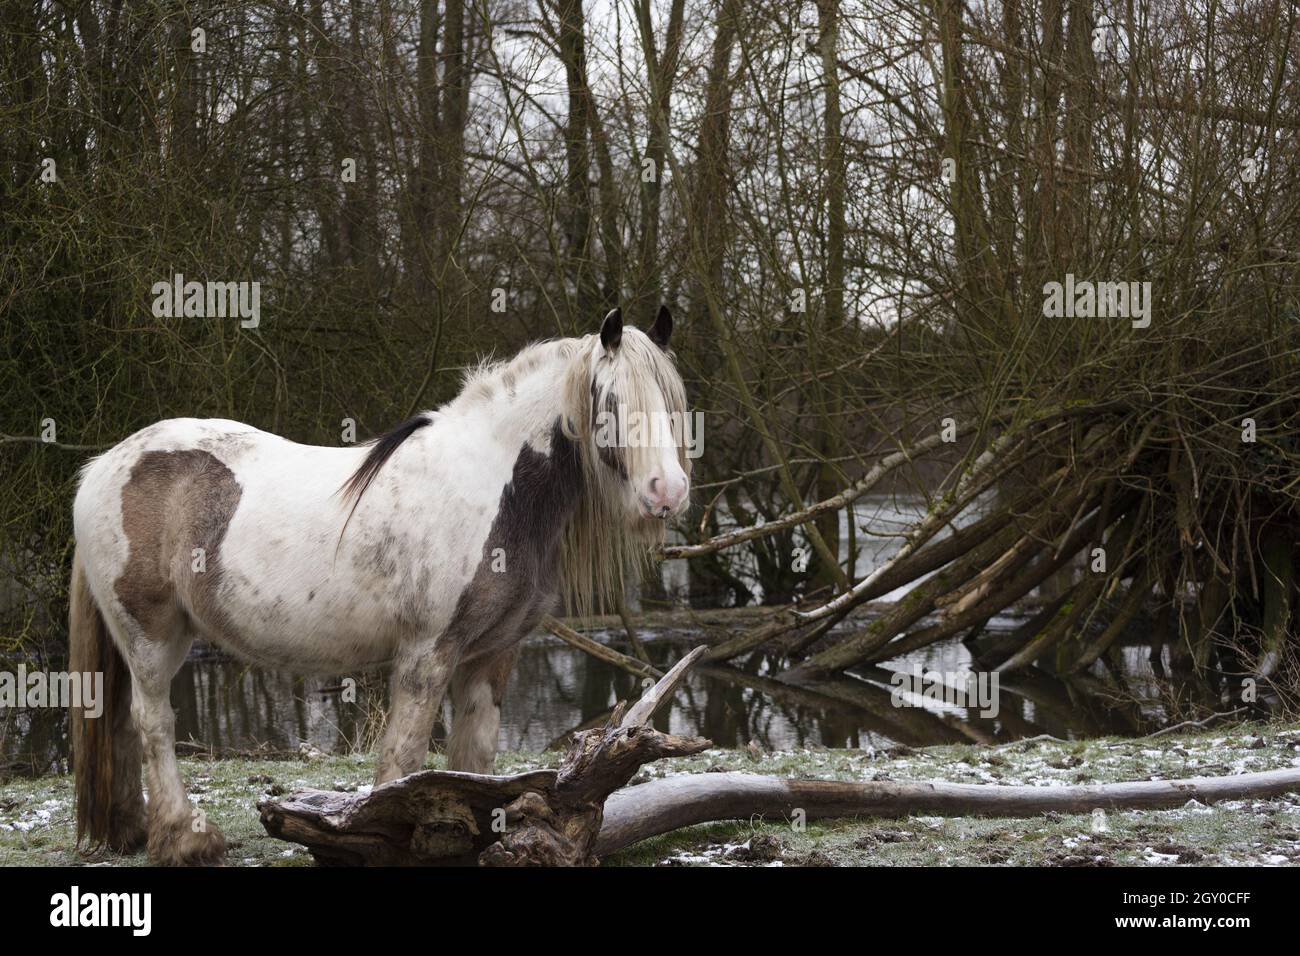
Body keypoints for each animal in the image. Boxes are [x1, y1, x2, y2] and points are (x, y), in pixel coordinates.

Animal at [68, 306, 691, 865]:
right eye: (611, 401)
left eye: (671, 401)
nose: (668, 491)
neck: (492, 486)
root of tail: (104, 466)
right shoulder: (427, 653)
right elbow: (405, 757)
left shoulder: (493, 654)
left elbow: (476, 756)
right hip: (153, 635)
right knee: (152, 723)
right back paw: (184, 839)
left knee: (122, 721)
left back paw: (132, 832)